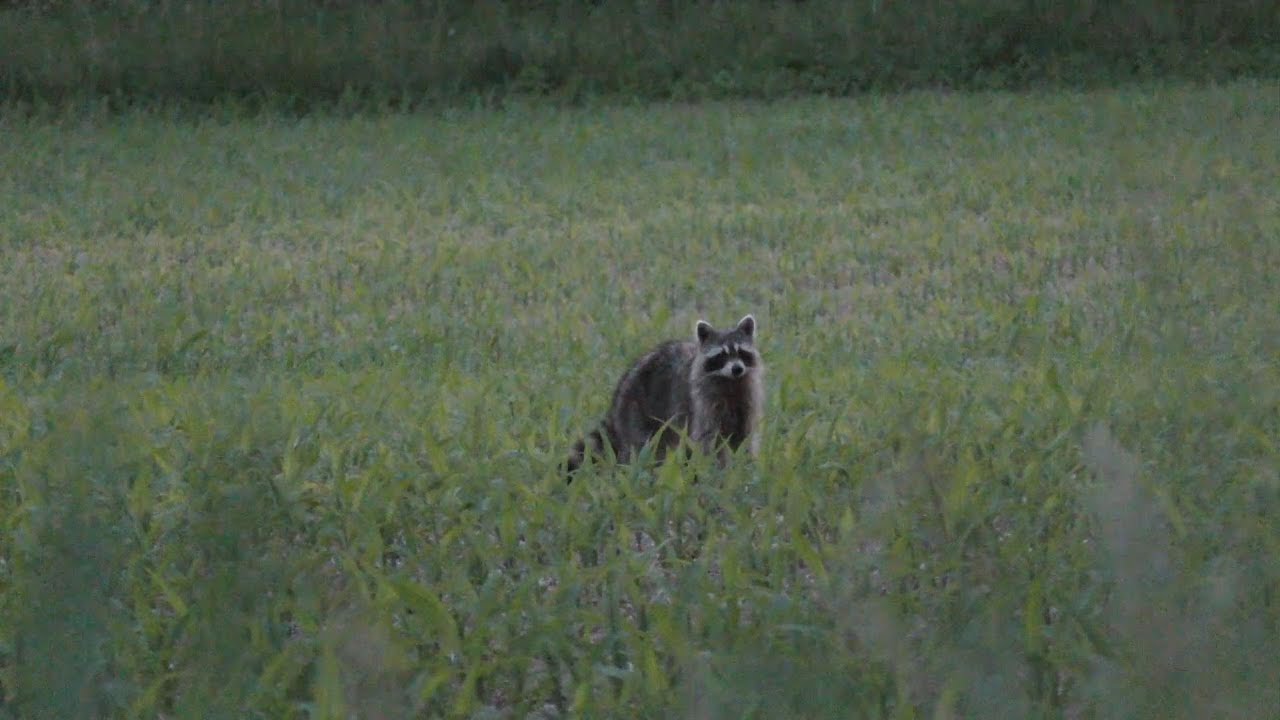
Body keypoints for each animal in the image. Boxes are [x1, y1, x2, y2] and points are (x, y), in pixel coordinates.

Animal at [565, 314, 764, 481]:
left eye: (741, 353)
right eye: (721, 355)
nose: (737, 368)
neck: (731, 382)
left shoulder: (747, 401)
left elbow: (744, 438)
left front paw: (747, 469)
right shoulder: (703, 405)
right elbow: (707, 442)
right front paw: (714, 474)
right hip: (638, 414)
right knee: (642, 449)